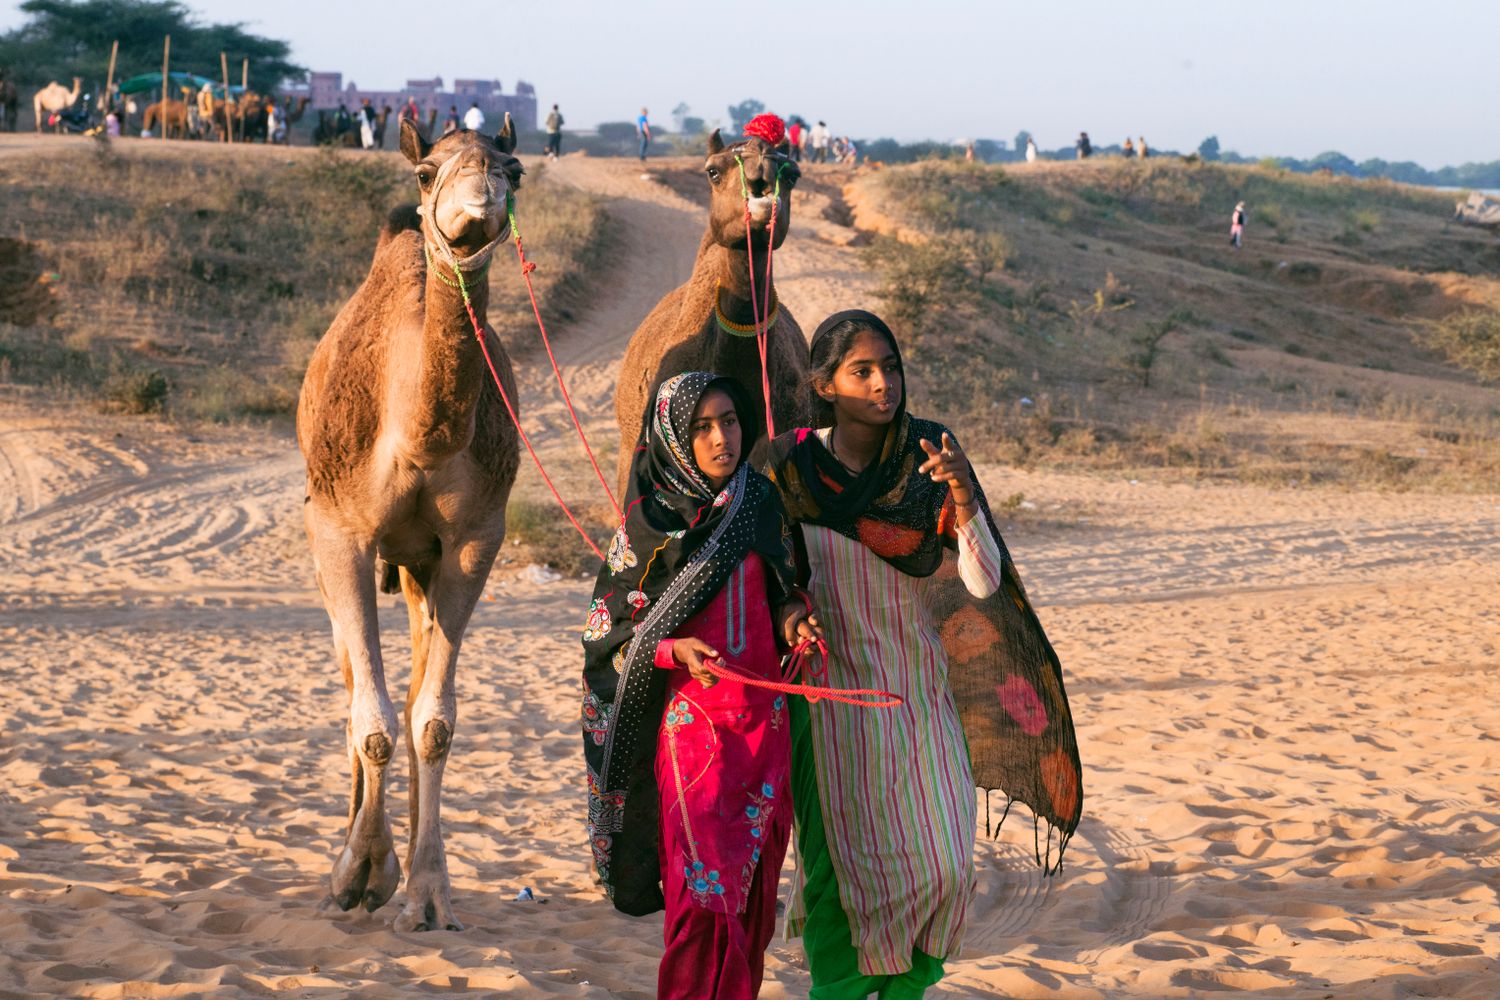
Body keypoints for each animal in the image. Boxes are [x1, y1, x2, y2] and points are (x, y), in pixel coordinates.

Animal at [296, 115, 523, 931]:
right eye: (428, 173)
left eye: (514, 167)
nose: (477, 202)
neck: (420, 432)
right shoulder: (340, 531)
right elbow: (372, 720)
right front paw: (358, 874)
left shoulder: (476, 538)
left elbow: (433, 722)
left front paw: (425, 893)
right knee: (350, 684)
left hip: (422, 565)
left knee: (421, 672)